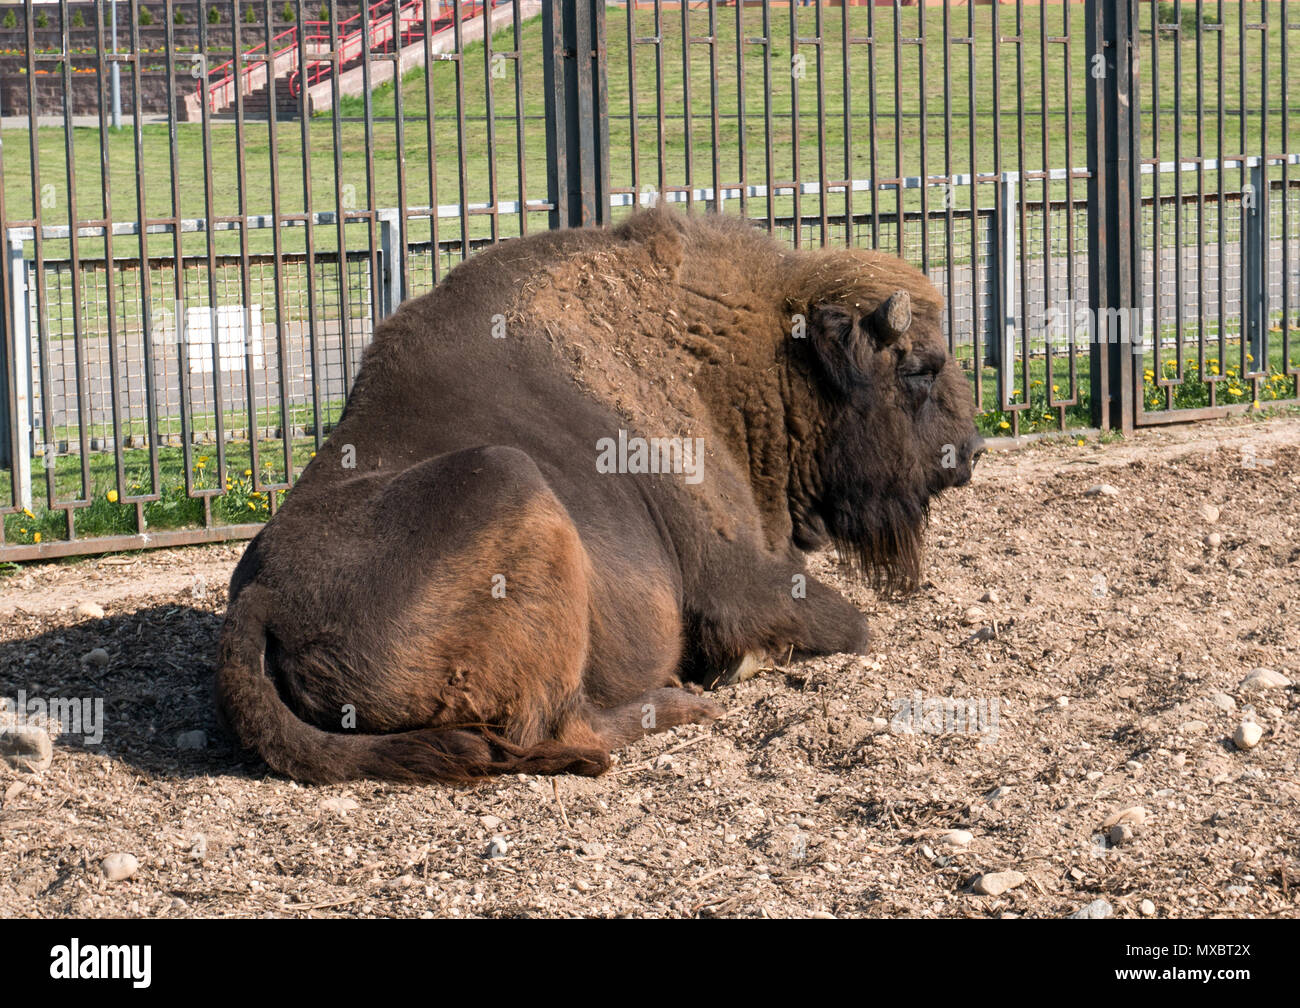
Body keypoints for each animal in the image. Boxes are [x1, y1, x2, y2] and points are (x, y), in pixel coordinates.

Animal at [215, 208, 983, 783]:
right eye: (919, 368)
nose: (970, 451)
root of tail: (261, 599)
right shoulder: (736, 579)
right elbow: (853, 626)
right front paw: (744, 663)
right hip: (512, 483)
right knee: (563, 728)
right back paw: (685, 704)